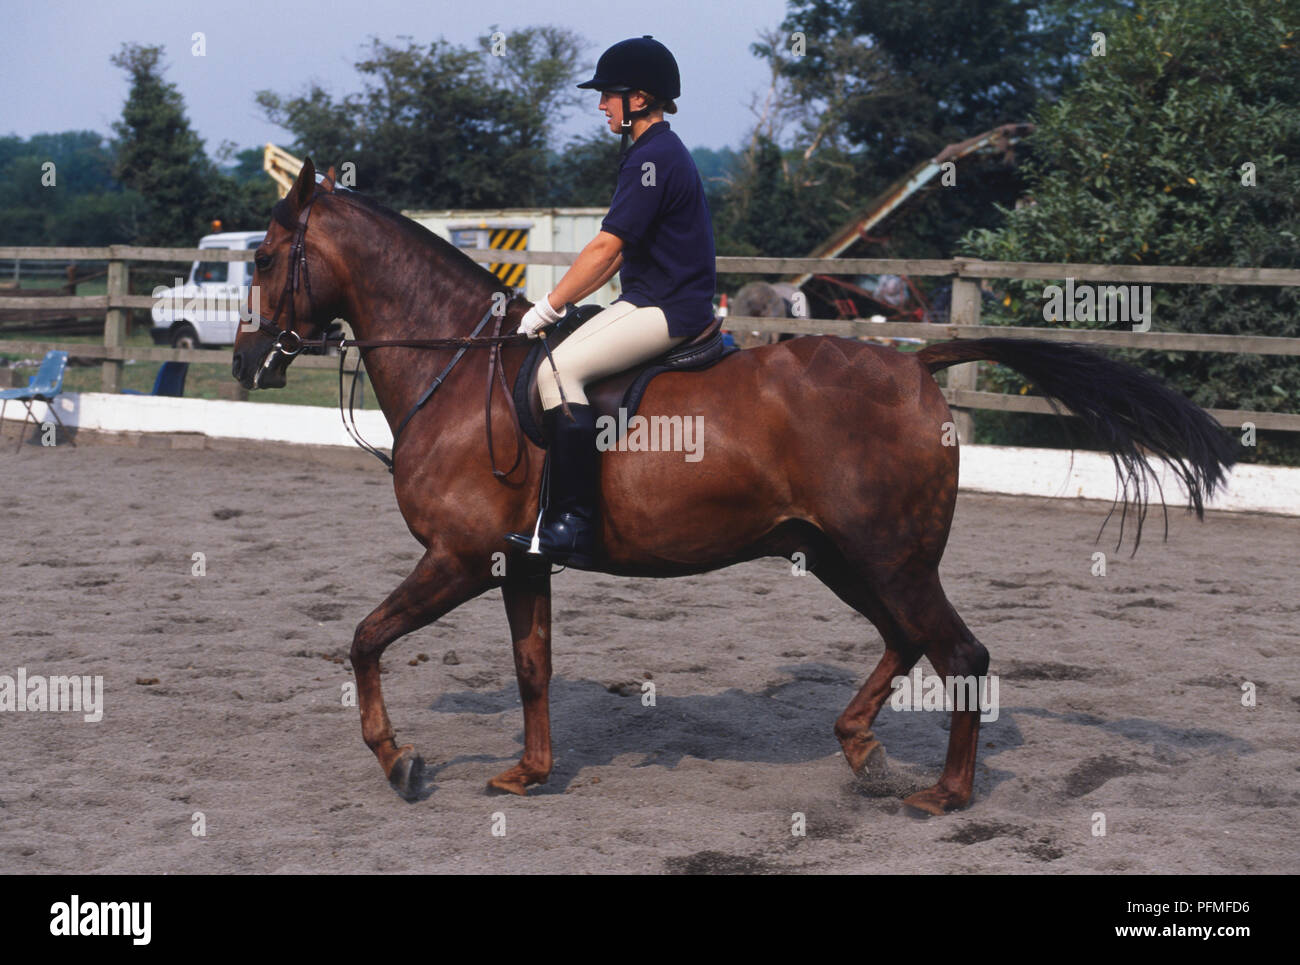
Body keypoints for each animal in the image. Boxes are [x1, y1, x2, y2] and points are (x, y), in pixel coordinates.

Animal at [232, 159, 1237, 814]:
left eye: (265, 259)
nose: (247, 361)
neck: (458, 367)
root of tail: (917, 363)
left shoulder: (459, 557)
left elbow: (364, 638)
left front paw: (397, 760)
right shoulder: (522, 563)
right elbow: (531, 666)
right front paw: (529, 772)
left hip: (886, 554)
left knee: (960, 651)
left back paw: (943, 794)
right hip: (839, 553)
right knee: (910, 640)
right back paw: (863, 747)